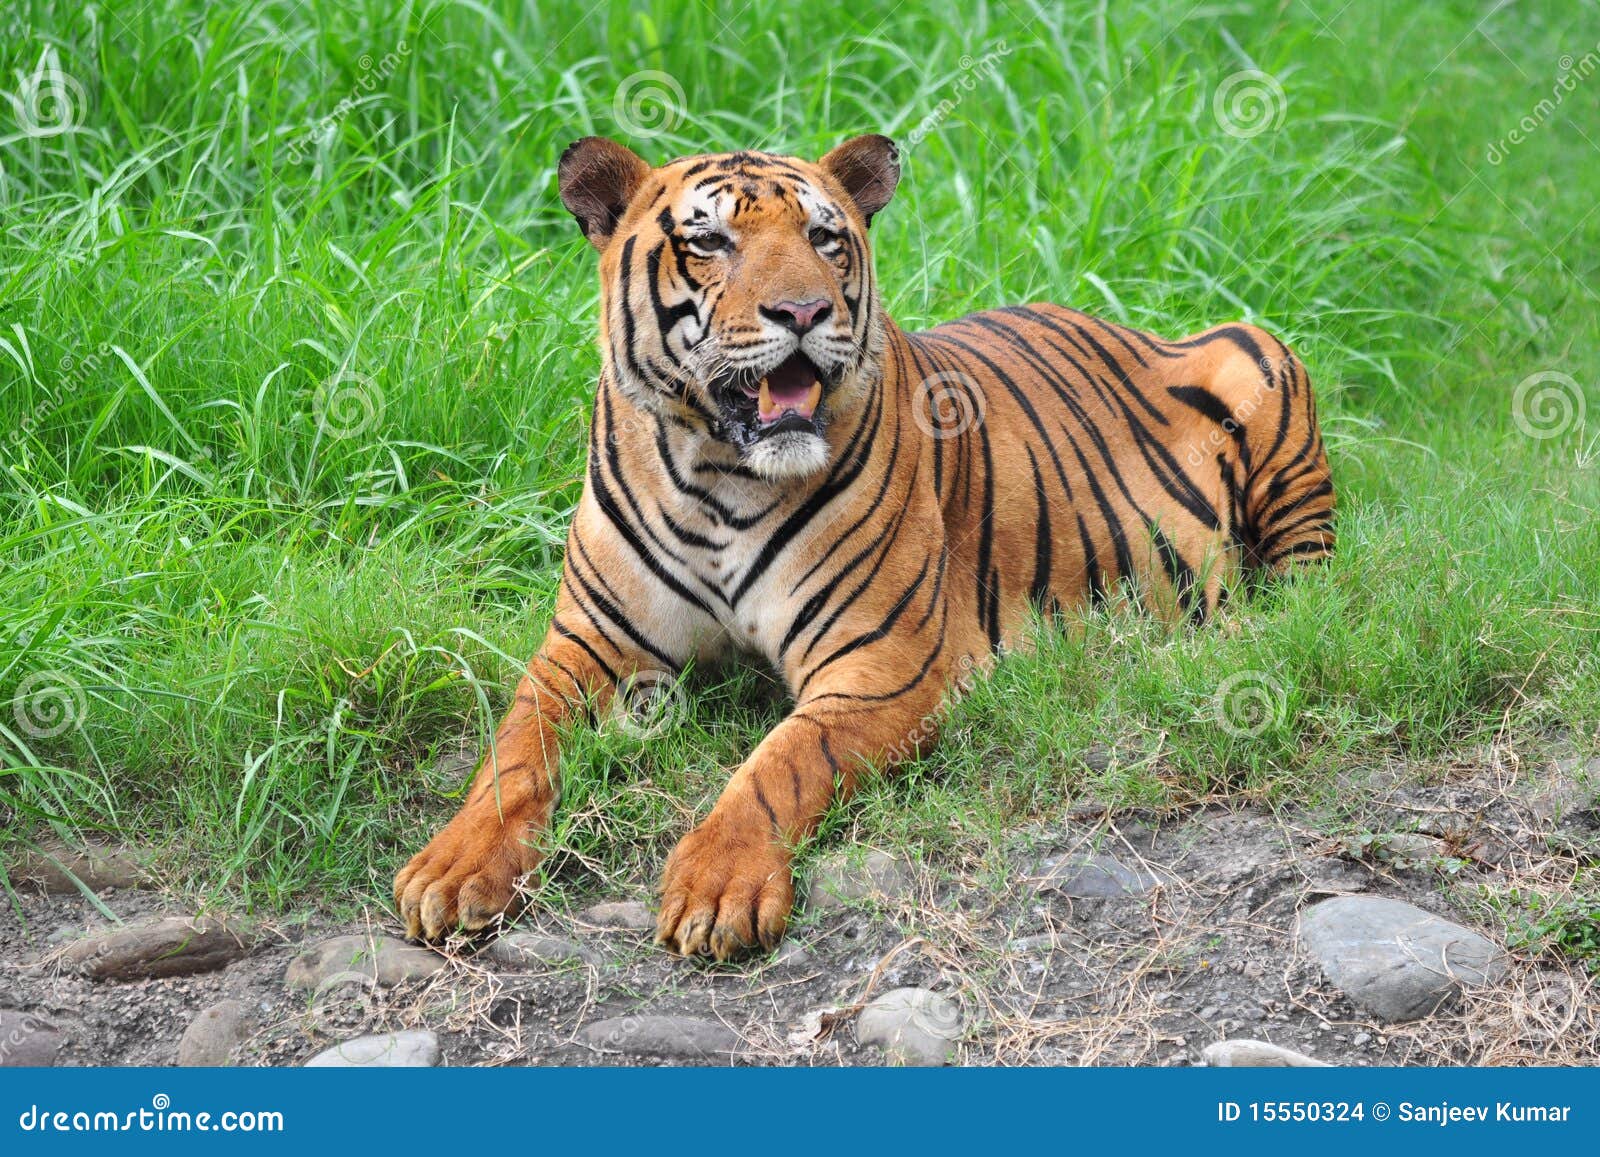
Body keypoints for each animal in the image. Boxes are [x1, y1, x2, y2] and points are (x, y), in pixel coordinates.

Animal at [394, 134, 1335, 959]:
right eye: (710, 241)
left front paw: (717, 886)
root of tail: (1136, 327)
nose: (805, 311)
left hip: (1259, 357)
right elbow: (513, 753)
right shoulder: (585, 646)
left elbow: (778, 763)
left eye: (824, 238)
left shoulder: (878, 662)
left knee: (1303, 598)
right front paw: (450, 870)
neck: (717, 474)